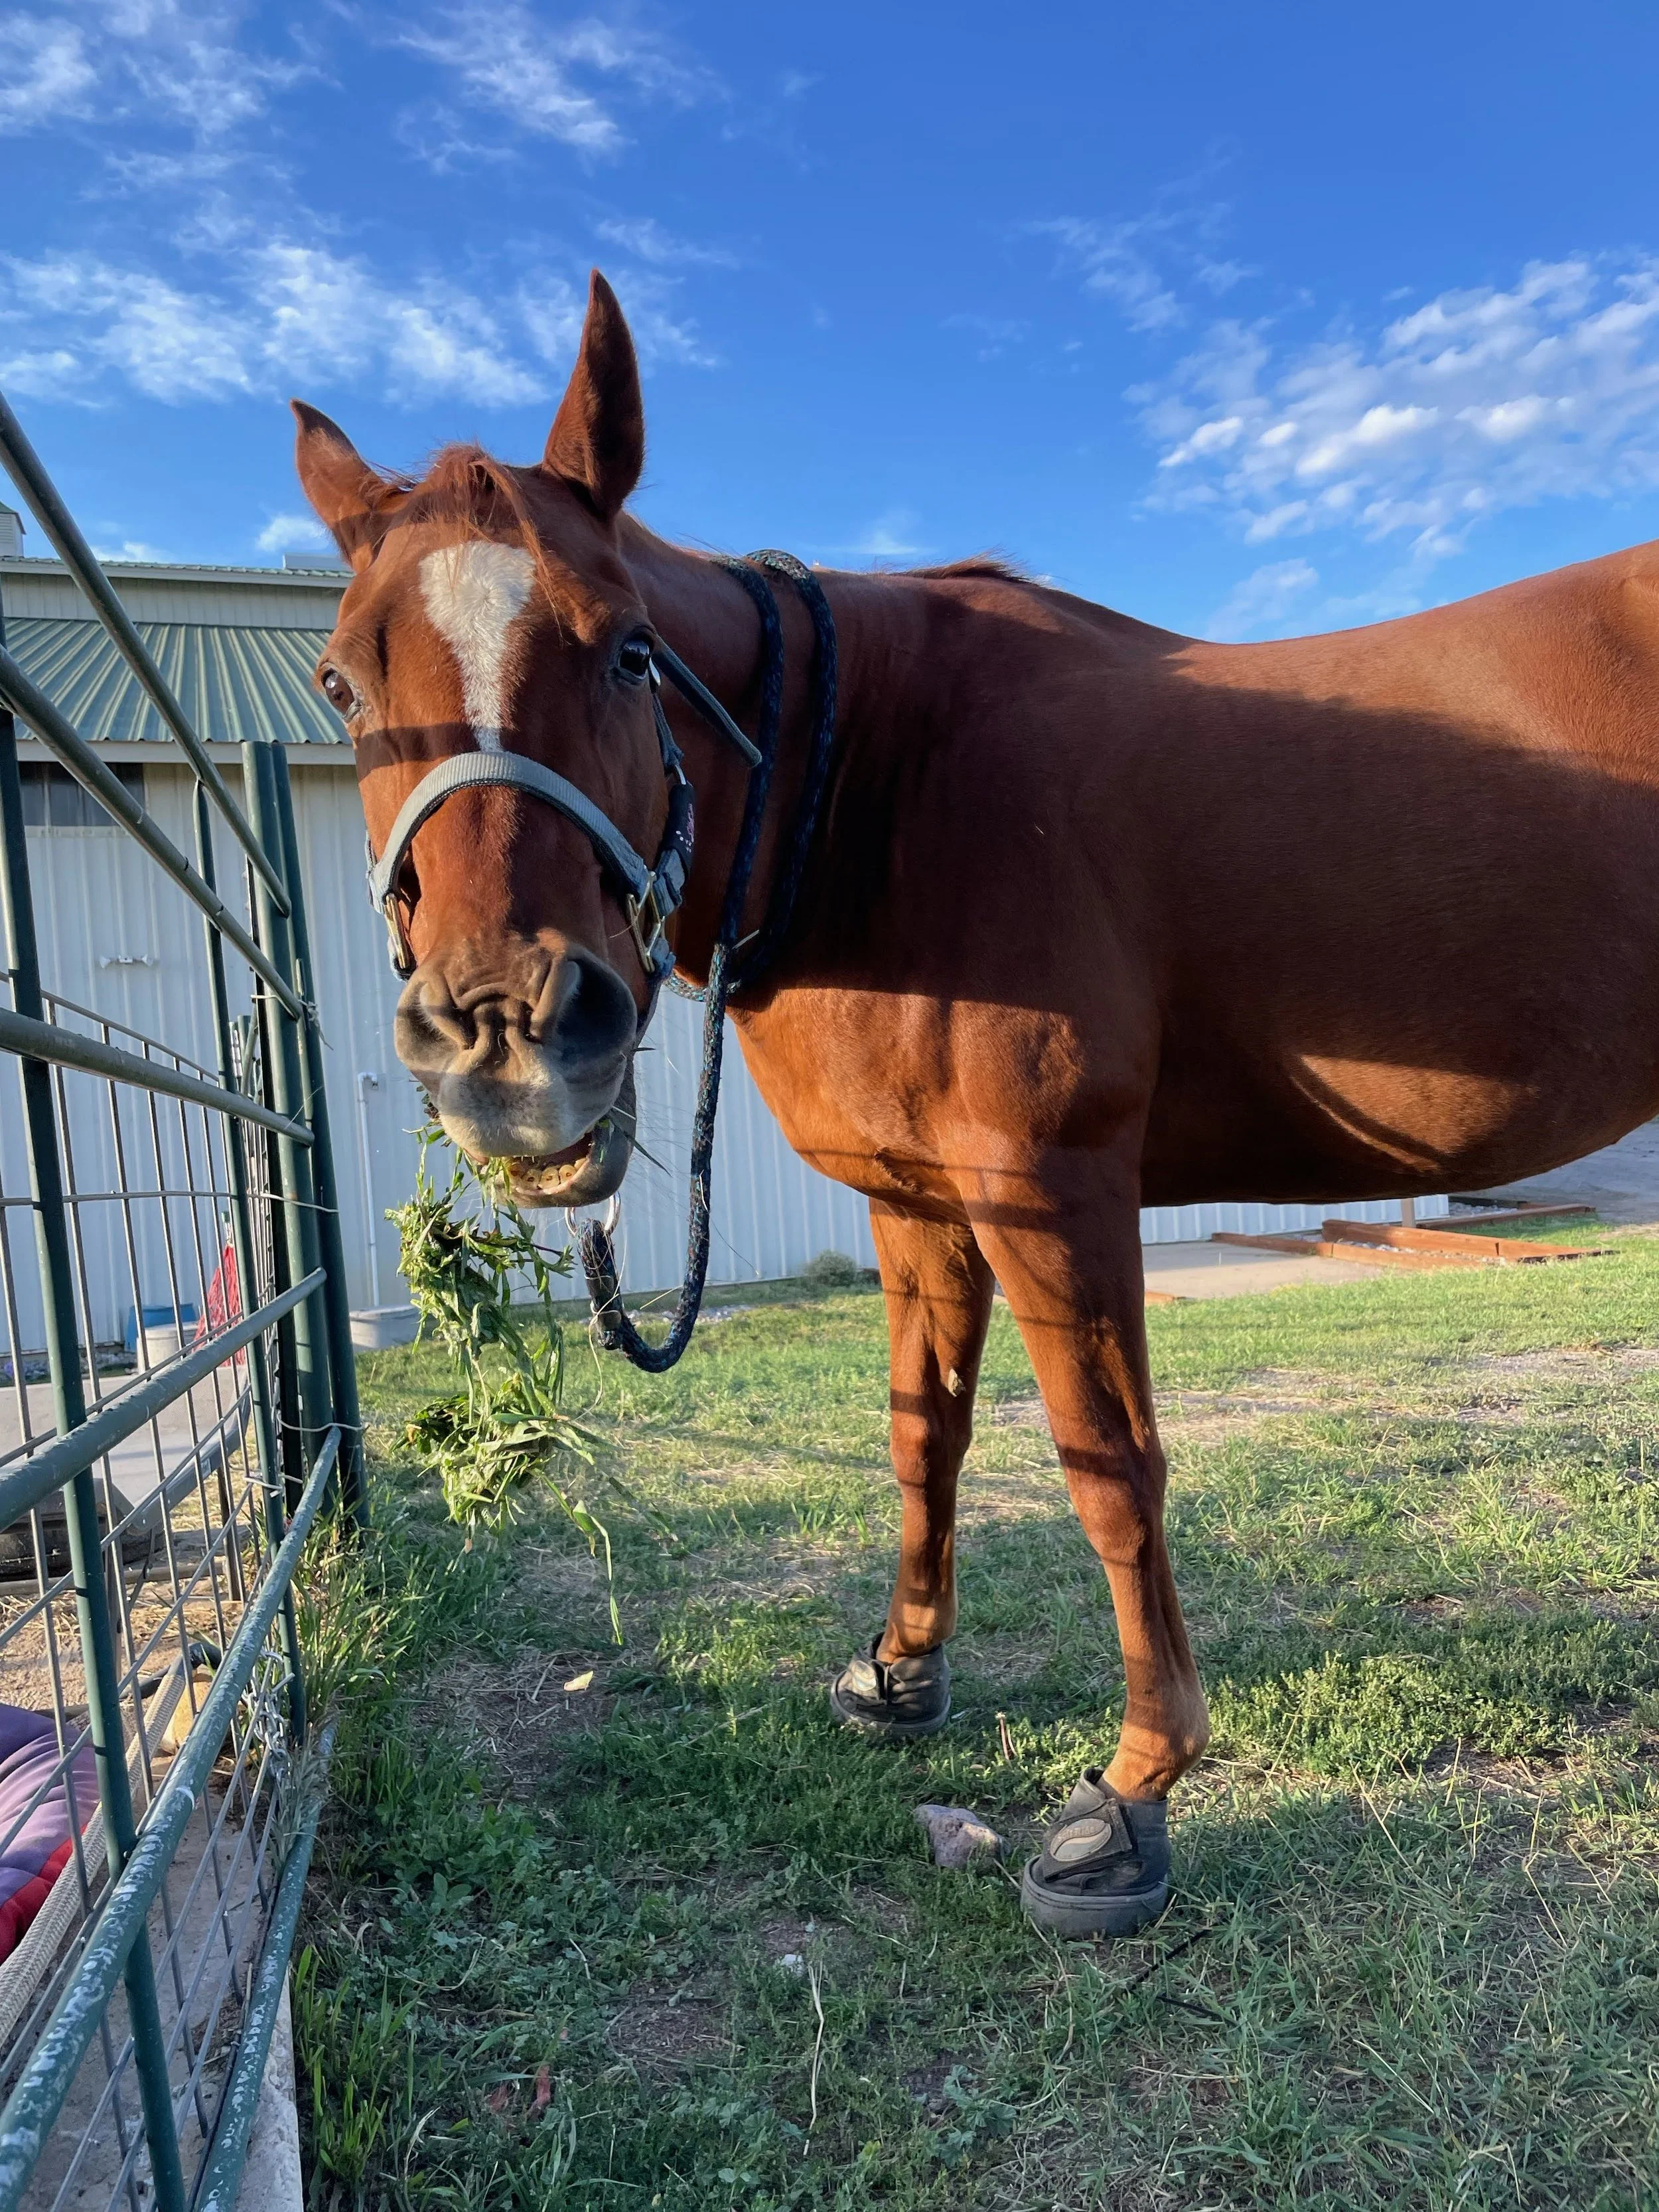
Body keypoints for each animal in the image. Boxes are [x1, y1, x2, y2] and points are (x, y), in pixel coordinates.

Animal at [293, 270, 1659, 1936]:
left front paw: (1133, 1793)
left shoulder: (1047, 1189)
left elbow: (1108, 1466)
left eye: (623, 650)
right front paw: (902, 1671)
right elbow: (921, 1435)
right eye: (343, 681)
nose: (507, 1041)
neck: (886, 782)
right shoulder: (920, 1201)